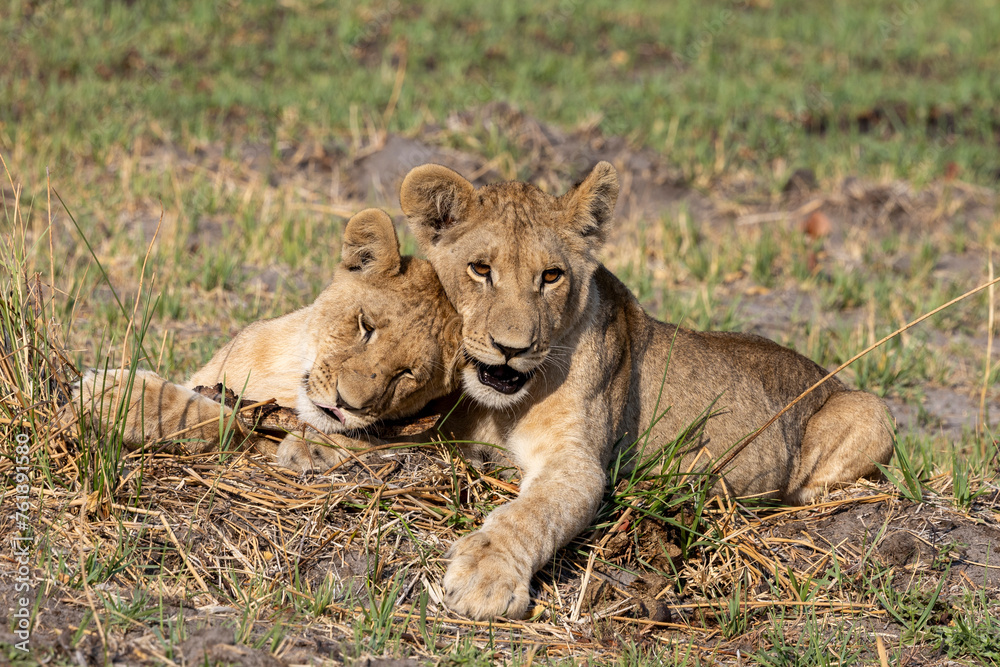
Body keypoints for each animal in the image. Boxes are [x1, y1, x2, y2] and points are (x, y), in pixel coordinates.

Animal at [71, 208, 462, 471]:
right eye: (365, 325)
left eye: (407, 374)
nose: (345, 404)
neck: (285, 374)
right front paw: (118, 397)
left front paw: (313, 447)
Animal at [399, 162, 895, 619]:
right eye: (481, 269)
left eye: (552, 276)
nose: (511, 349)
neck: (498, 407)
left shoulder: (579, 464)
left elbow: (532, 515)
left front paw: (487, 575)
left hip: (871, 409)